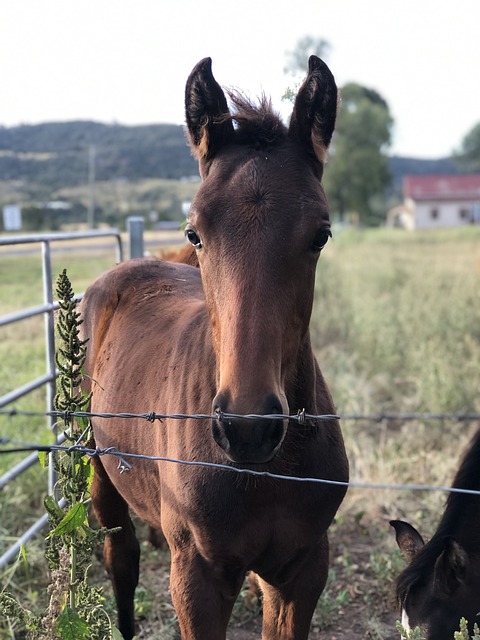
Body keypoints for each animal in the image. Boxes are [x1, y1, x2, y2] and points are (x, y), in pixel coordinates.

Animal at [80, 55, 349, 640]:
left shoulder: (302, 570)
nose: (248, 427)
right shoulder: (196, 578)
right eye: (195, 233)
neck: (267, 472)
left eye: (321, 234)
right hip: (97, 467)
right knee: (121, 557)